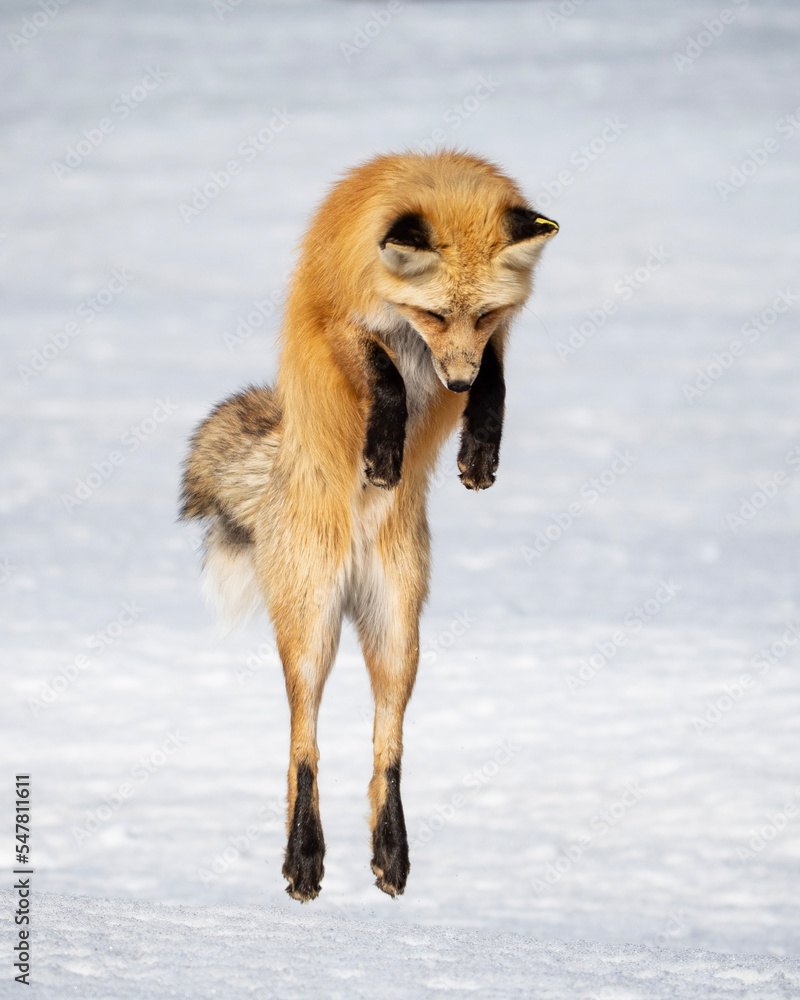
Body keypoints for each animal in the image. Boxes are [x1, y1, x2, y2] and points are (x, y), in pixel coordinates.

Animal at [180, 150, 558, 902]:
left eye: (484, 311)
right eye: (433, 313)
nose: (454, 386)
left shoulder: (496, 339)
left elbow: (499, 381)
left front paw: (480, 447)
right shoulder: (335, 317)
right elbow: (383, 373)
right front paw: (384, 447)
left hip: (398, 635)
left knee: (389, 748)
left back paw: (390, 850)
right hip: (311, 628)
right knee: (303, 745)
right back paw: (304, 857)